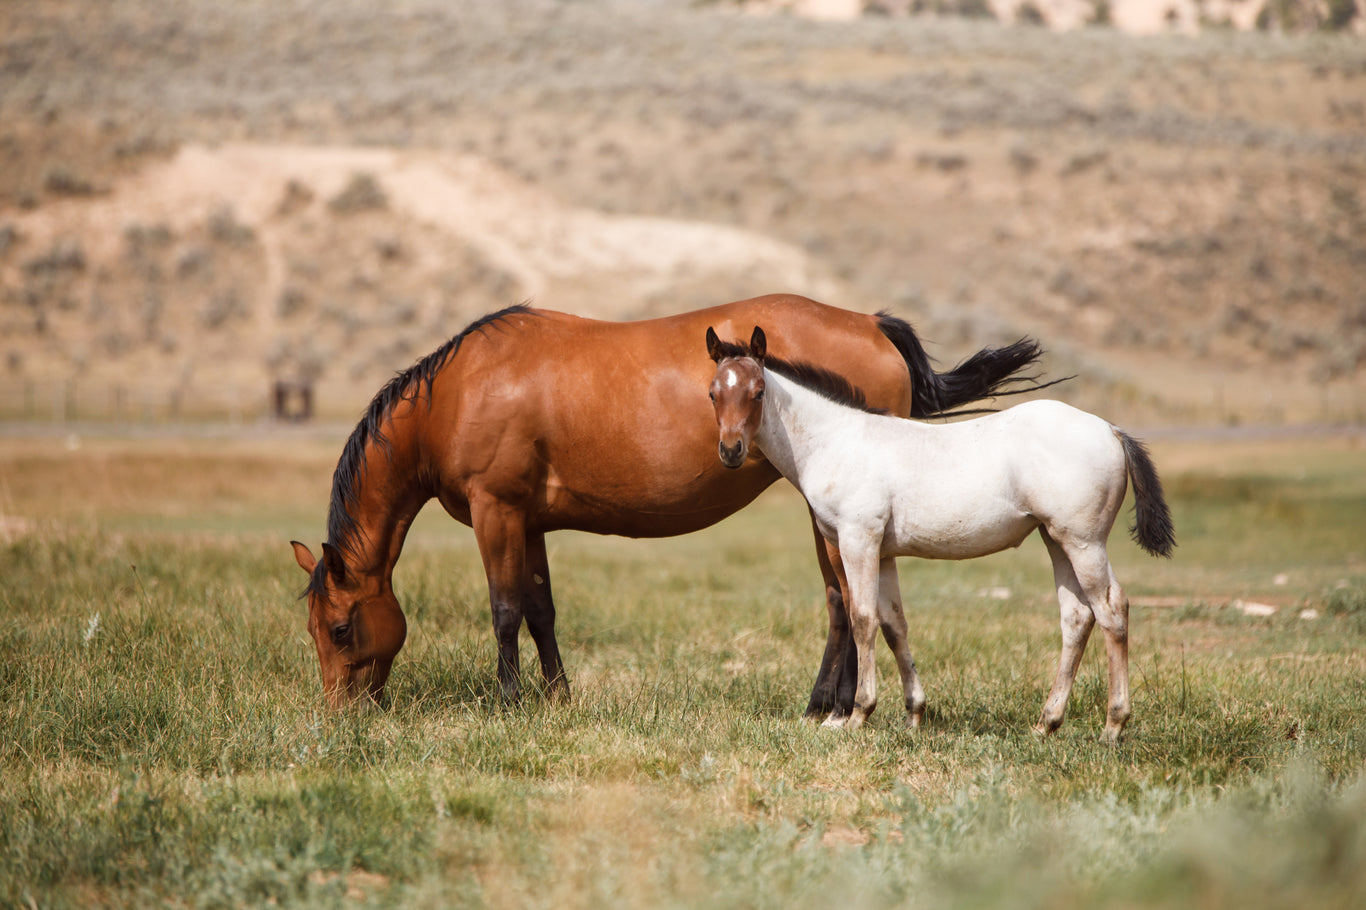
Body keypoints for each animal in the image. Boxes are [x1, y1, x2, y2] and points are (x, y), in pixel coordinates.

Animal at [289, 295, 1055, 709]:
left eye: (339, 628)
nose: (342, 713)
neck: (460, 390)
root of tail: (870, 322)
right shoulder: (529, 521)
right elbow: (540, 609)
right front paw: (556, 697)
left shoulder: (495, 511)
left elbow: (504, 610)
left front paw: (507, 702)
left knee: (843, 600)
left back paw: (826, 704)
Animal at [706, 325, 1174, 742]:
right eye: (714, 393)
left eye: (758, 392)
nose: (730, 451)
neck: (836, 441)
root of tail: (1111, 429)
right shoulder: (883, 552)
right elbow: (894, 623)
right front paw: (914, 713)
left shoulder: (858, 540)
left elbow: (863, 618)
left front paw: (857, 715)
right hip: (1055, 540)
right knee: (1077, 617)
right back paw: (1047, 723)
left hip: (1084, 542)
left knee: (1112, 610)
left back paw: (1113, 726)